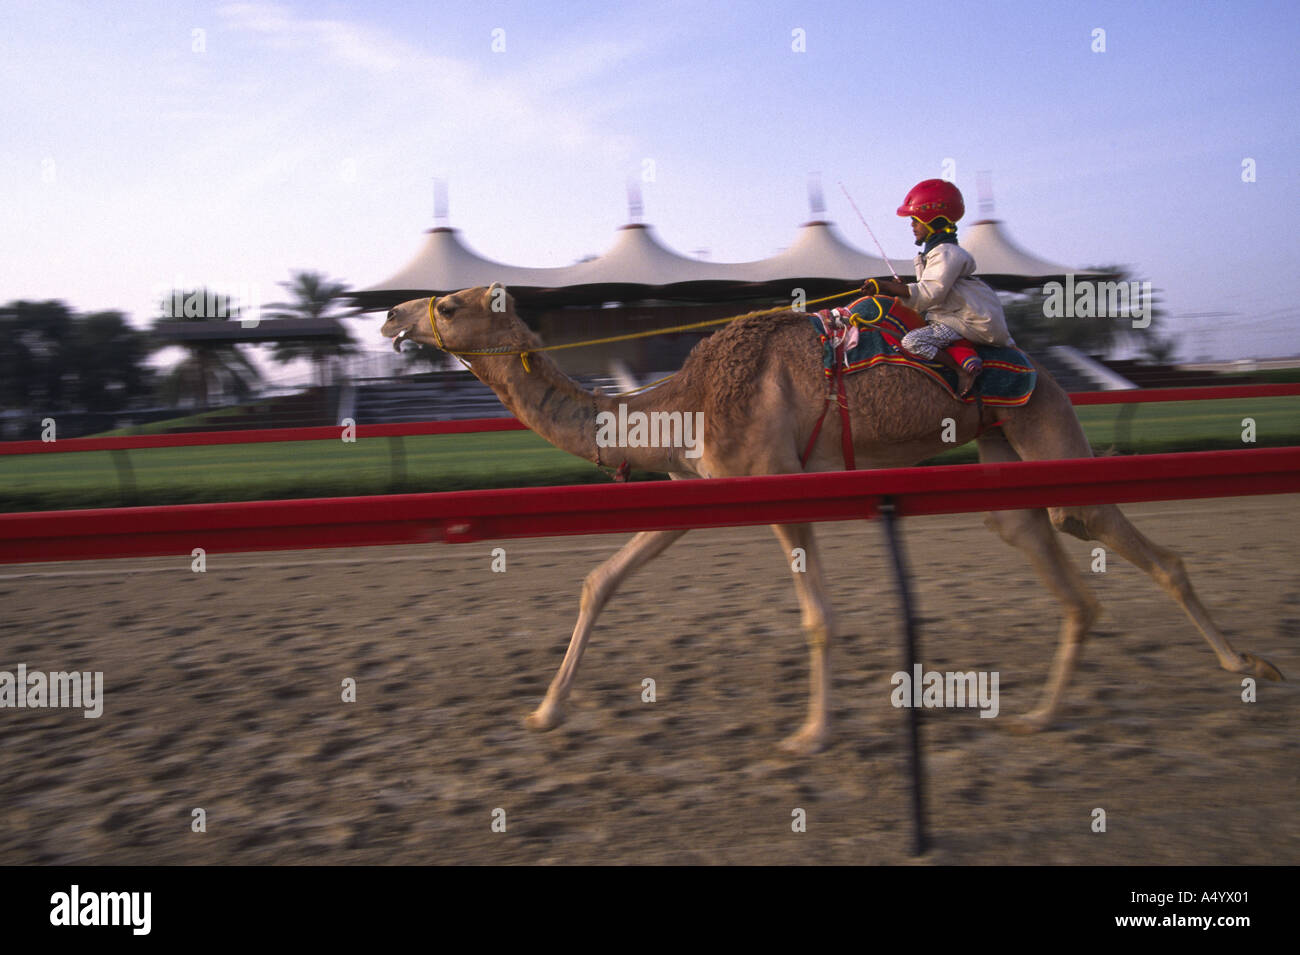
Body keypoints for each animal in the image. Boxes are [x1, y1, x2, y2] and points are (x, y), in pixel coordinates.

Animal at [381, 283, 1283, 754]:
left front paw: (810, 734)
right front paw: (543, 711)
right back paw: (1040, 713)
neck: (679, 403)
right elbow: (600, 578)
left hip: (1043, 423)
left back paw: (1248, 664)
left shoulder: (776, 482)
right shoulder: (700, 485)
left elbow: (817, 617)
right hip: (1001, 452)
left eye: (450, 305)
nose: (391, 314)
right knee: (1051, 553)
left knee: (1120, 534)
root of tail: (1037, 363)